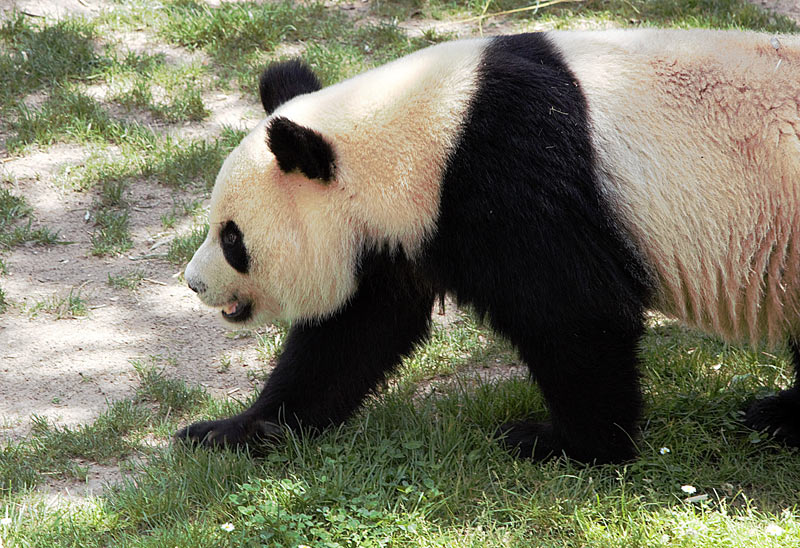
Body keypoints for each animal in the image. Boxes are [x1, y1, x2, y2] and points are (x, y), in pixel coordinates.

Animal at [179, 29, 800, 464]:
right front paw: (232, 430)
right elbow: (353, 335)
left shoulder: (506, 178)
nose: (194, 283)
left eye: (232, 237)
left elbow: (574, 312)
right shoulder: (399, 234)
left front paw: (566, 443)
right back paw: (781, 414)